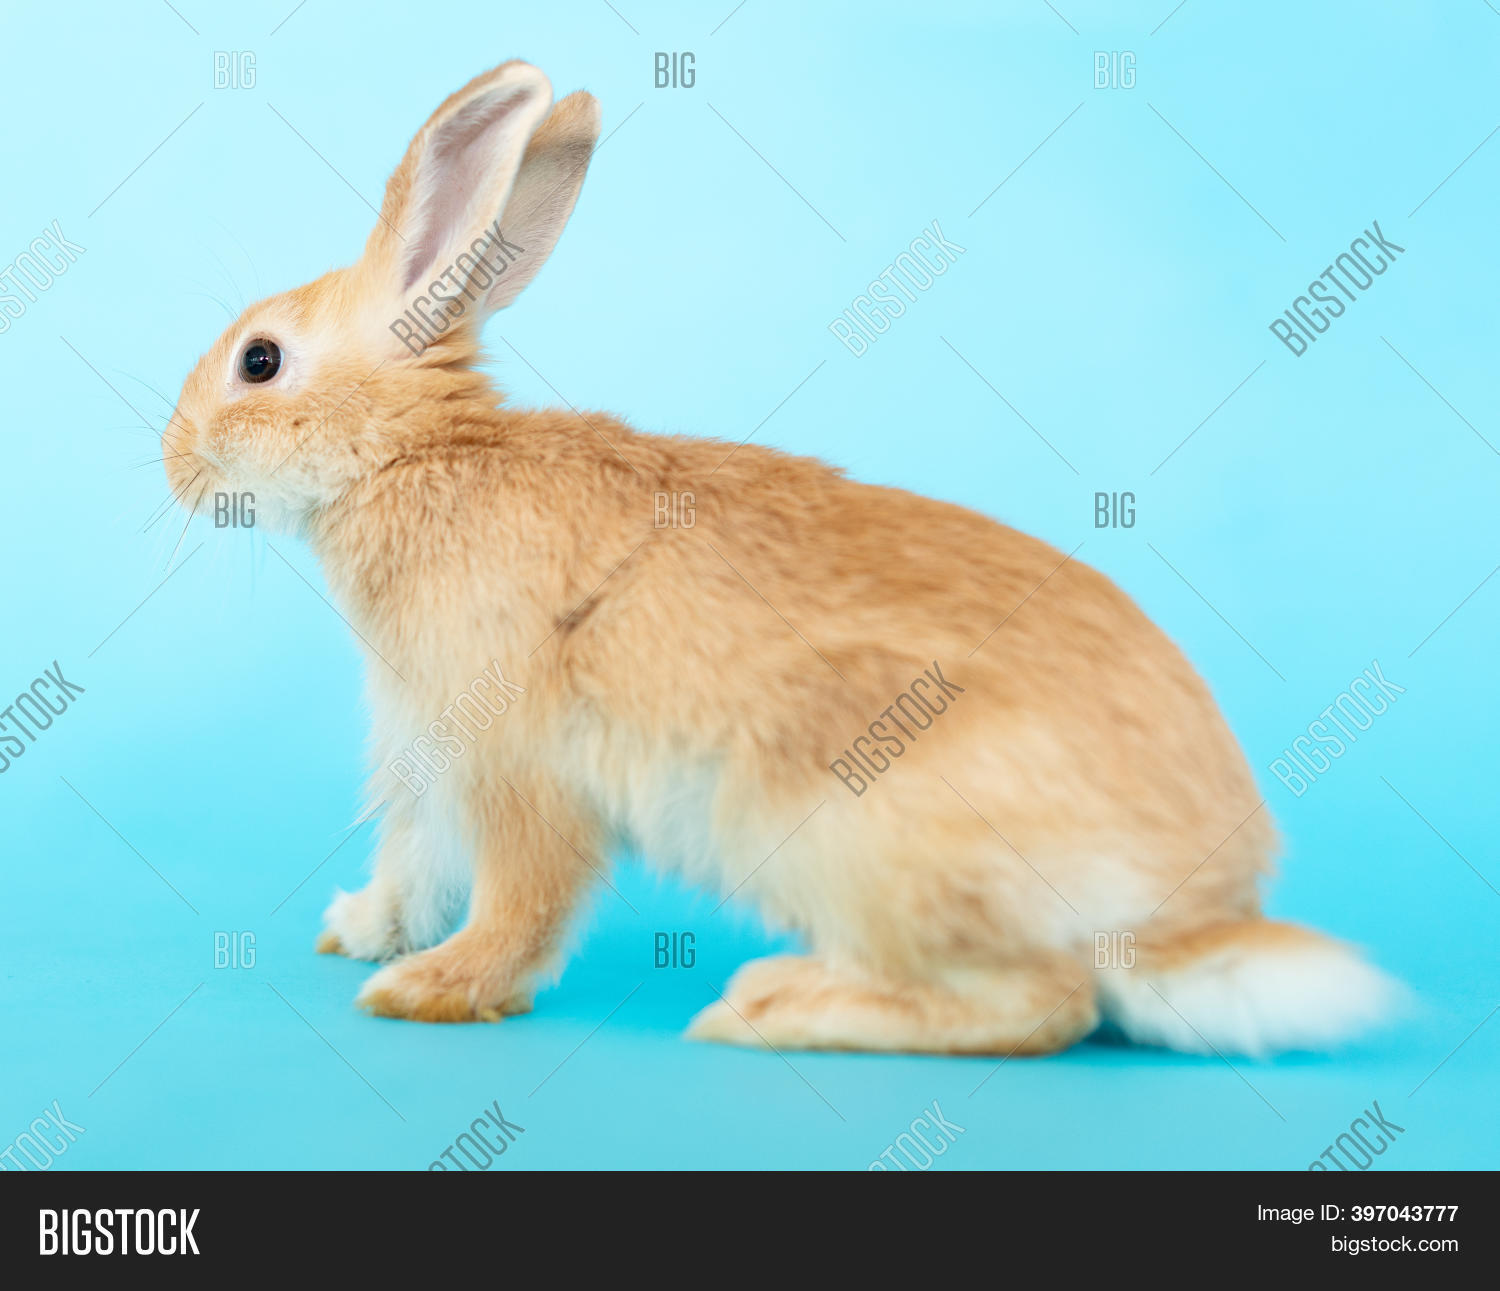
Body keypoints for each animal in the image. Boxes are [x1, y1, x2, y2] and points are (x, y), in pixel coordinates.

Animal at [162, 59, 1398, 1056]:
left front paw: (431, 989)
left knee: (1040, 1004)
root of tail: (1184, 923)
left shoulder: (514, 759)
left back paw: (775, 1006)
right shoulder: (421, 749)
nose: (173, 463)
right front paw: (364, 933)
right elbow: (414, 856)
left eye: (260, 361)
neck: (410, 456)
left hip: (862, 827)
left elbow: (523, 894)